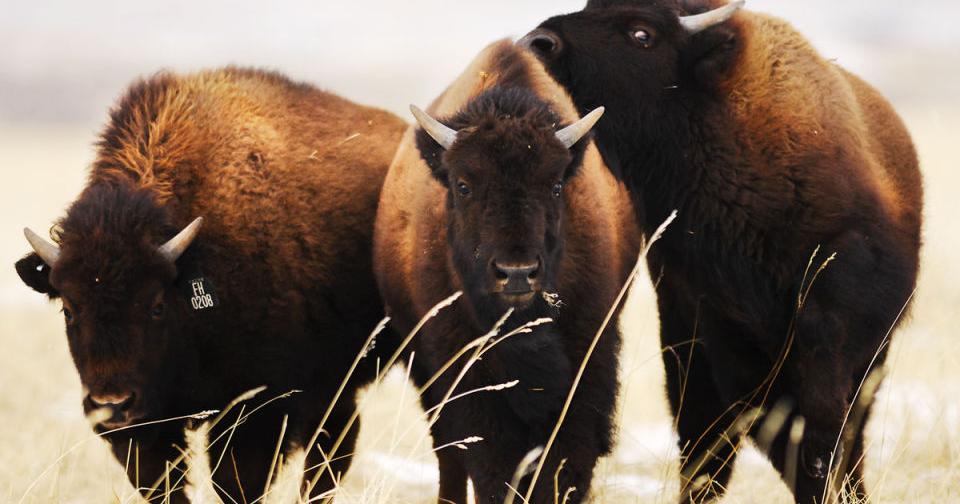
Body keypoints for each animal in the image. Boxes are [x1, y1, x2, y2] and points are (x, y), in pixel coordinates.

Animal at [15, 67, 406, 502]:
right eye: (69, 309)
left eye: (156, 305)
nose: (112, 405)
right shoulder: (151, 429)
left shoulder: (255, 411)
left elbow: (235, 482)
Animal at [373, 40, 641, 503]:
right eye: (462, 185)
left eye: (556, 185)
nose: (517, 272)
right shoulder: (465, 377)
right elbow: (491, 468)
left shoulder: (588, 364)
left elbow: (565, 465)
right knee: (448, 458)